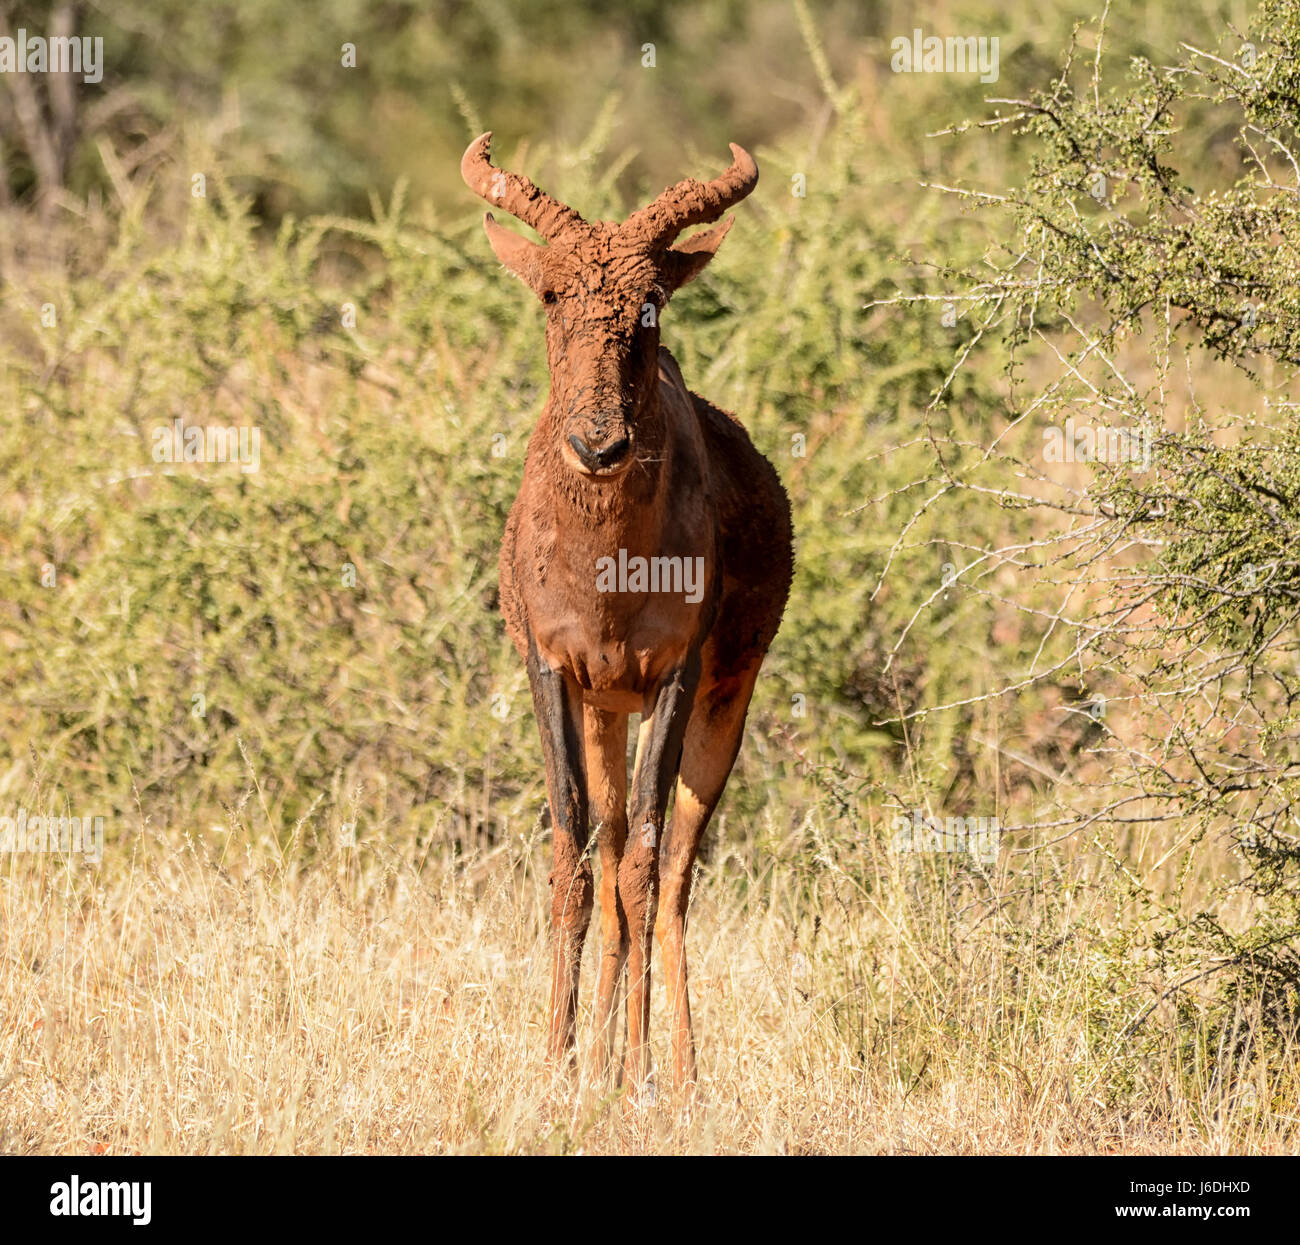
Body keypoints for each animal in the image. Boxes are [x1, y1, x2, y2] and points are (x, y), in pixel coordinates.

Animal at [462, 133, 793, 1094]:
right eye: (550, 292)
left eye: (651, 301)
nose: (599, 444)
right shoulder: (550, 670)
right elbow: (575, 856)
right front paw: (556, 1060)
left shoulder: (677, 676)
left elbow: (648, 865)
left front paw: (641, 1071)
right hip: (606, 712)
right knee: (608, 856)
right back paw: (602, 1062)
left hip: (722, 702)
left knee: (673, 870)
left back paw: (673, 1069)